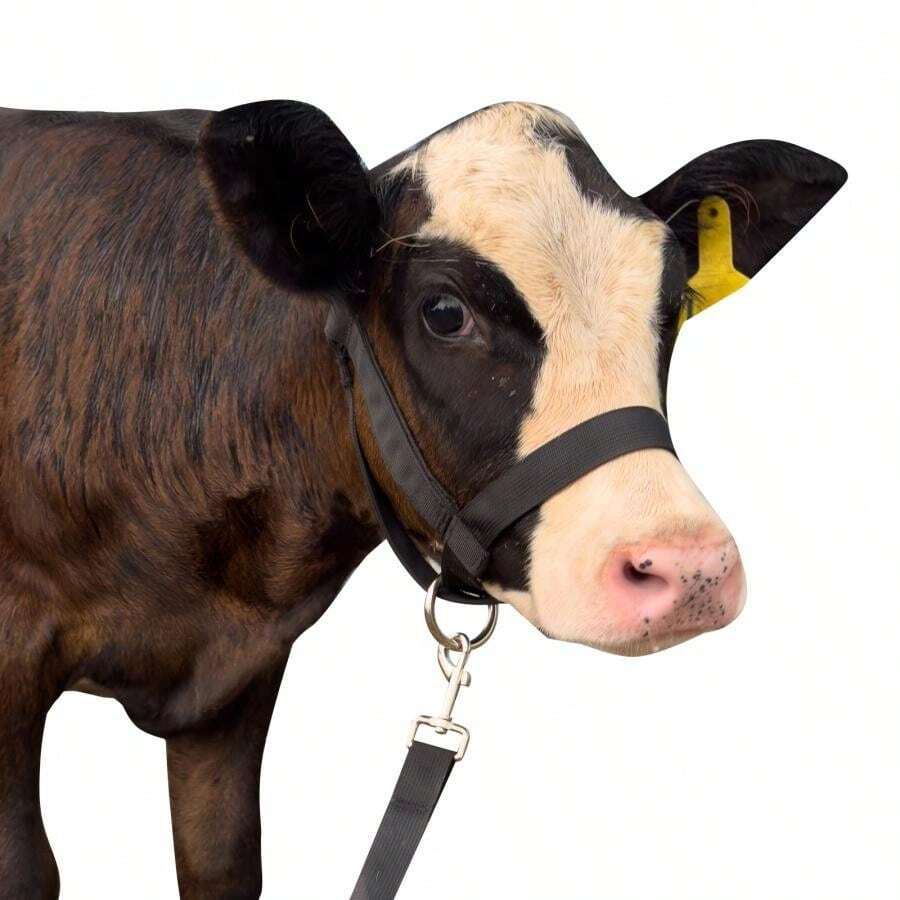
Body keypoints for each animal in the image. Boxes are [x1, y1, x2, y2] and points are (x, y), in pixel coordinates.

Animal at [0, 100, 845, 898]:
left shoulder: (236, 679)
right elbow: (30, 869)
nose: (688, 567)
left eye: (671, 307)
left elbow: (222, 859)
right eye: (444, 312)